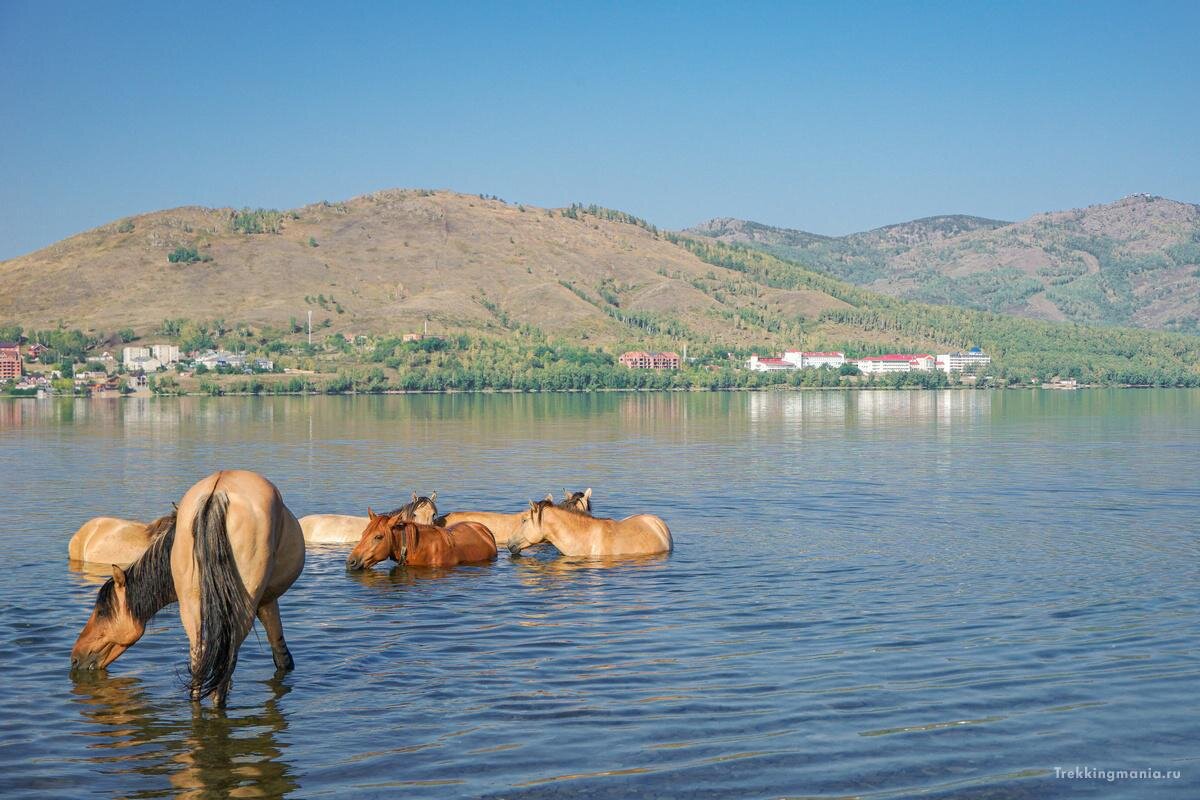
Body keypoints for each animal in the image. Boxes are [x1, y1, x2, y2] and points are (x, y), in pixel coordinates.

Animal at [73, 470, 307, 705]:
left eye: (101, 612)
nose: (75, 657)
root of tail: (217, 493)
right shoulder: (266, 602)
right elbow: (282, 655)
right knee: (225, 664)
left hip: (190, 607)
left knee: (199, 660)